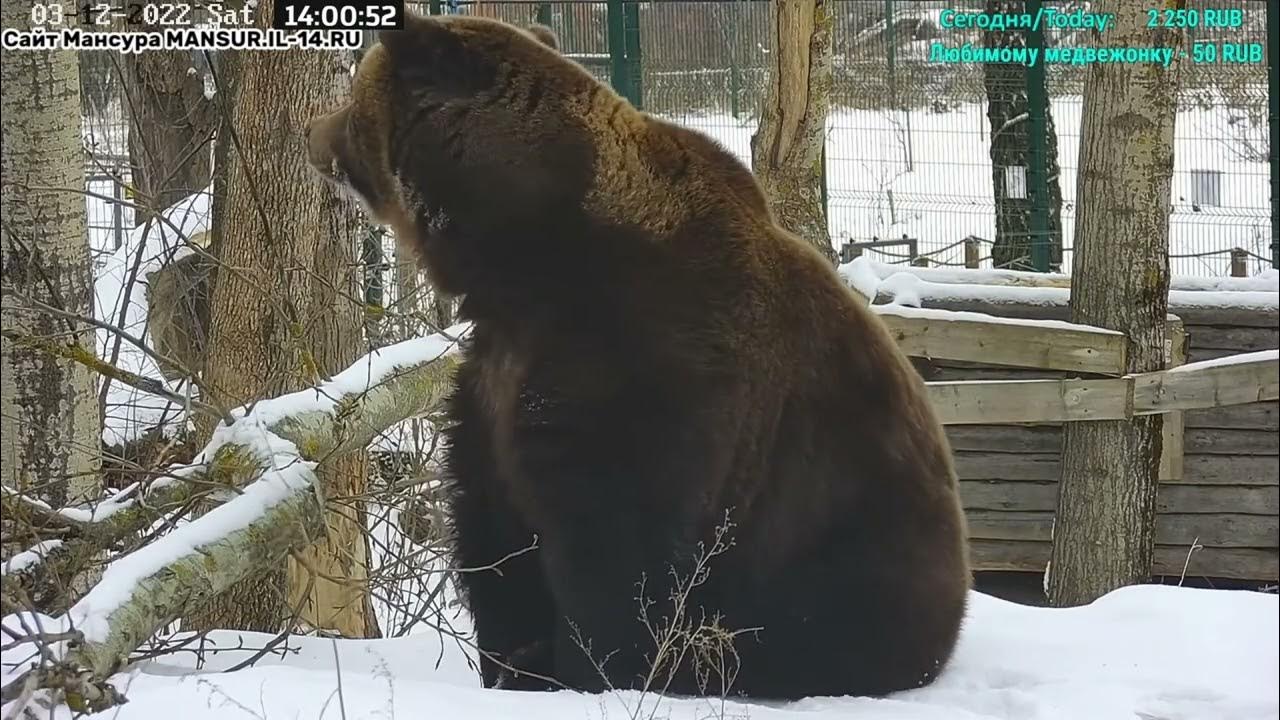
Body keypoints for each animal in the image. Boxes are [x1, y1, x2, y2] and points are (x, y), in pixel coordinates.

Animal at [305, 13, 971, 700]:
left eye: (352, 98)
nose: (309, 130)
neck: (524, 254)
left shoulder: (649, 364)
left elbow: (617, 551)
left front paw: (598, 671)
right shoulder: (497, 379)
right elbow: (495, 538)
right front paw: (516, 666)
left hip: (847, 553)